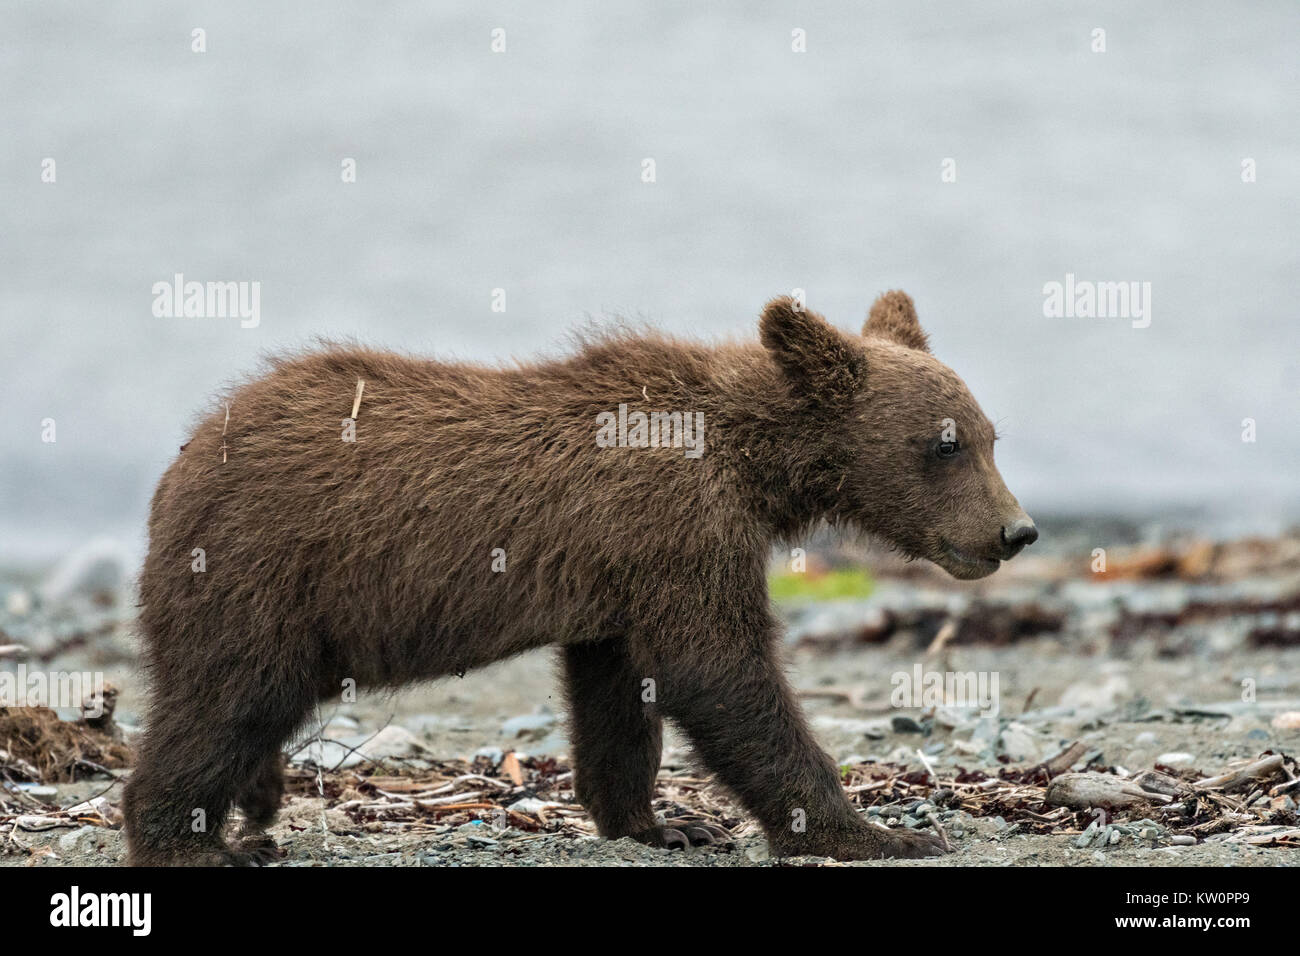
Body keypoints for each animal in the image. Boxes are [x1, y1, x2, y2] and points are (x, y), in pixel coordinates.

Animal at [122, 290, 1036, 865]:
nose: (1016, 529)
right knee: (225, 700)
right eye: (945, 443)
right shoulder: (681, 531)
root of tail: (184, 458)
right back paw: (192, 841)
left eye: (992, 435)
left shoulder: (622, 578)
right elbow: (723, 673)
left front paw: (663, 824)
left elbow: (619, 698)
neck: (752, 466)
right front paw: (879, 833)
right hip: (265, 571)